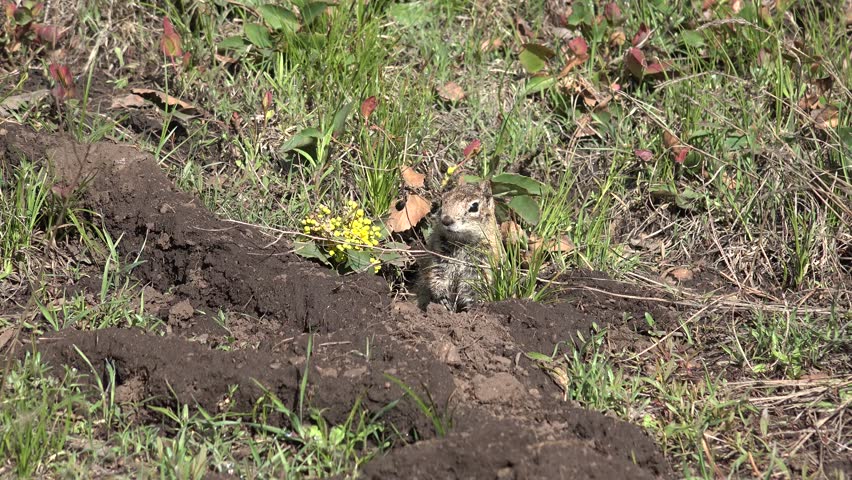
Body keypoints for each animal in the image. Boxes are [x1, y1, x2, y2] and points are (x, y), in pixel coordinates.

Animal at [417, 179, 502, 312]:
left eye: (474, 206)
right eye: (442, 201)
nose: (446, 220)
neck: (462, 242)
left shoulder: (480, 265)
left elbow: (472, 288)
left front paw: (473, 308)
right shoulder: (438, 257)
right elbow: (437, 277)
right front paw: (443, 299)